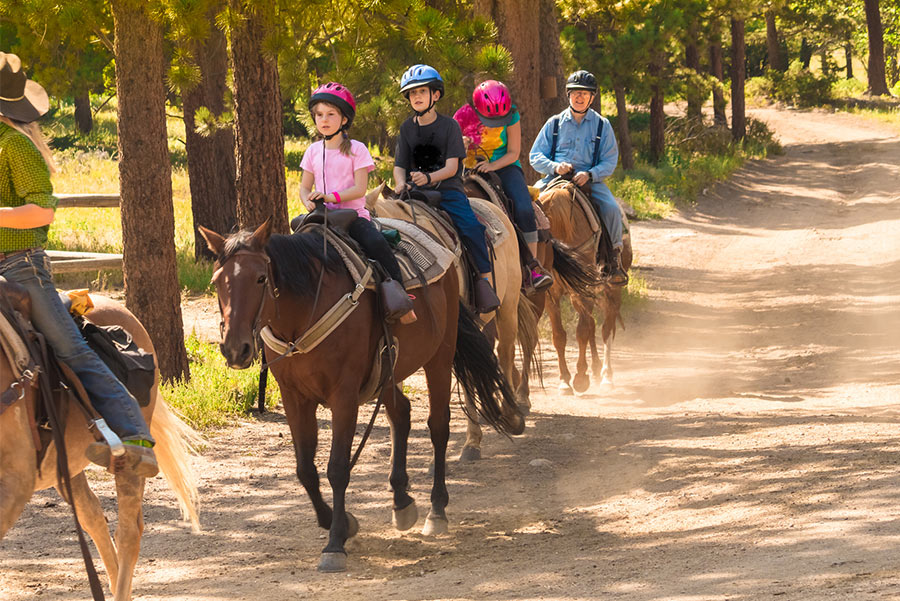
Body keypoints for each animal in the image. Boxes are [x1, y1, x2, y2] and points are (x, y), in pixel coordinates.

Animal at [197, 217, 520, 572]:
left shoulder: (344, 395)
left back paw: (436, 511)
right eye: (217, 281)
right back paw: (401, 502)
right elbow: (305, 469)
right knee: (401, 414)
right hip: (388, 371)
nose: (235, 348)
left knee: (438, 427)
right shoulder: (294, 397)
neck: (305, 310)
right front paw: (340, 522)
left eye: (260, 278)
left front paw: (335, 542)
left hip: (440, 356)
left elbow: (337, 468)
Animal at [536, 180, 636, 392]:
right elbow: (559, 336)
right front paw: (564, 380)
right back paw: (596, 369)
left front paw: (581, 377)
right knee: (592, 324)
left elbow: (582, 331)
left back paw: (606, 374)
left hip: (612, 290)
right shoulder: (551, 295)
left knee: (606, 328)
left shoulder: (583, 292)